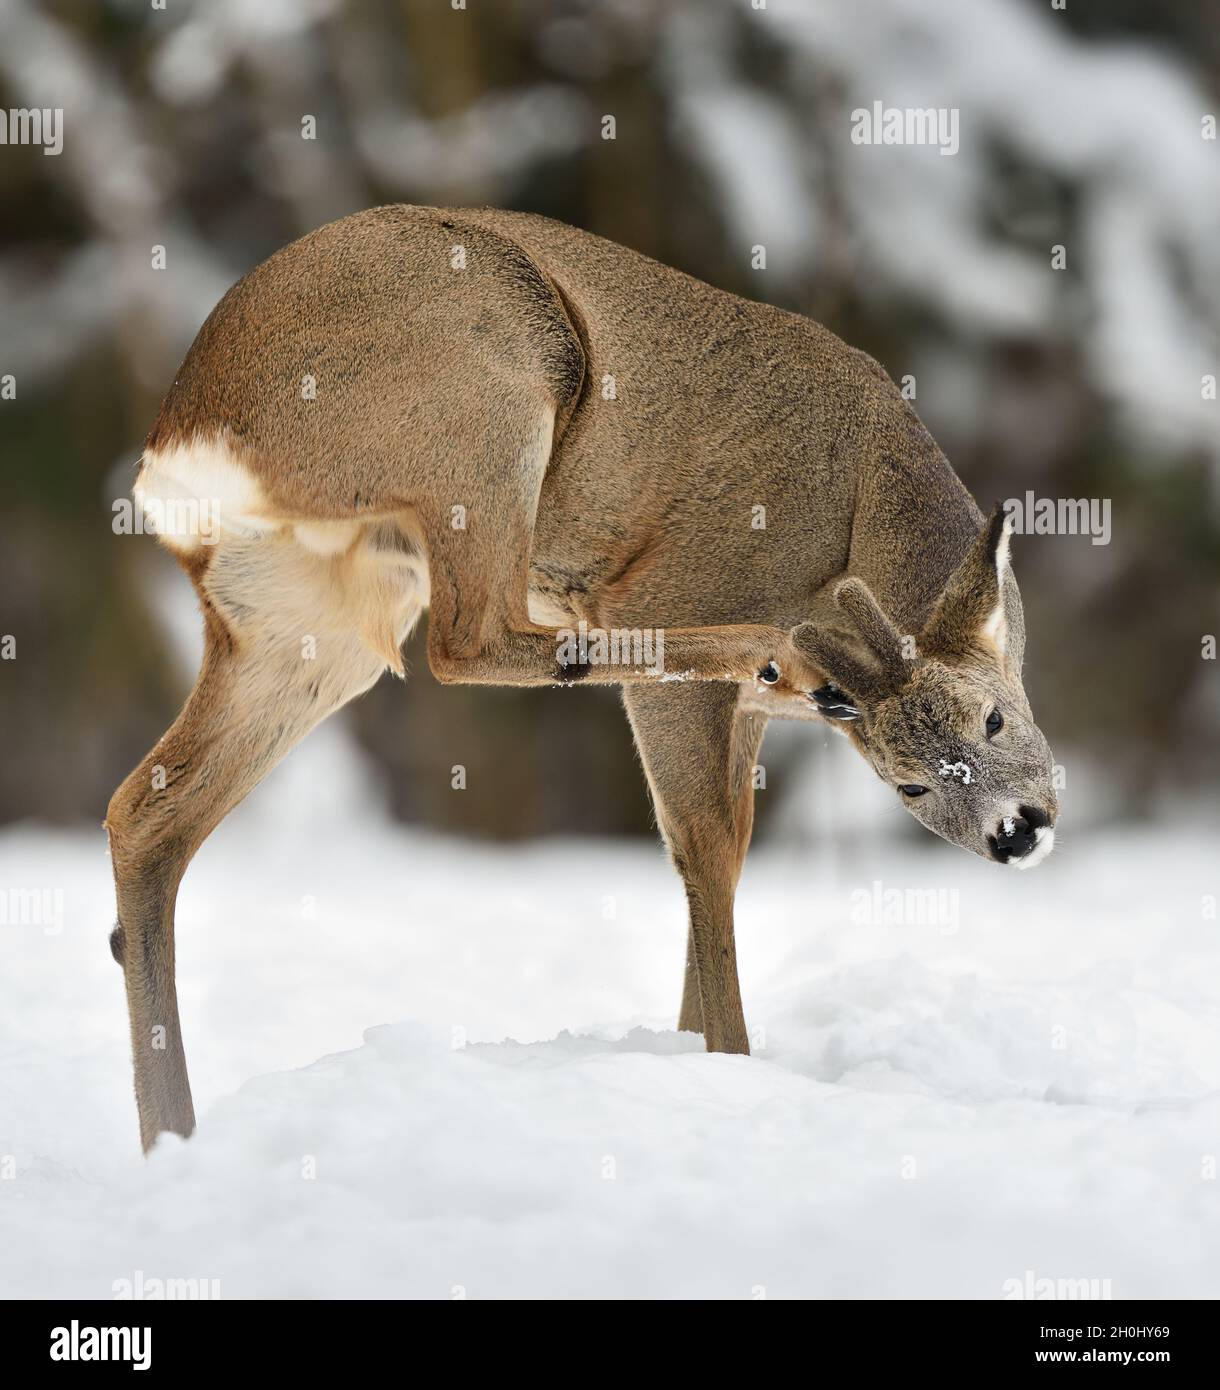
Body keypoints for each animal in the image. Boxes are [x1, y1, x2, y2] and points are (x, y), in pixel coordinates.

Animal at [106, 205, 1059, 1152]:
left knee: (146, 813)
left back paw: (170, 1138)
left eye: (992, 720)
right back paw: (780, 648)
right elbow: (706, 847)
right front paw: (727, 1066)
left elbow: (723, 846)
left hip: (308, 615)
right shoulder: (679, 593)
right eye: (909, 787)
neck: (863, 503)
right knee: (468, 641)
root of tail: (185, 432)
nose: (1017, 831)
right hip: (494, 381)